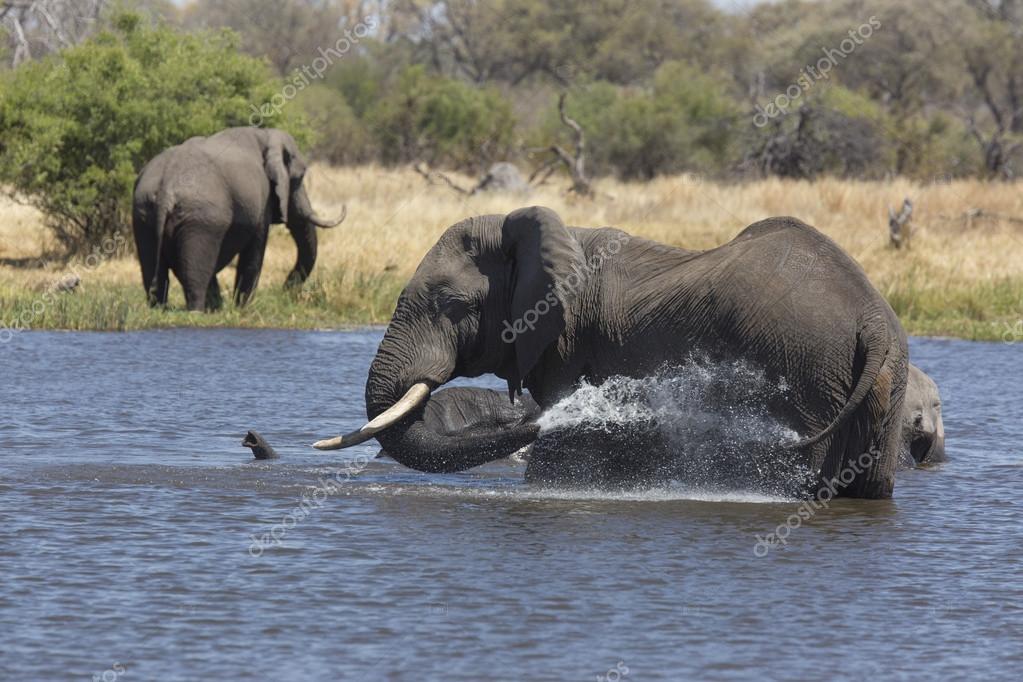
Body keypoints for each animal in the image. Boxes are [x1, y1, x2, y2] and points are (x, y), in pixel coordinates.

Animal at [132, 127, 346, 311]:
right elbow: (254, 253)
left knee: (154, 267)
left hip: (143, 213)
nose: (285, 292)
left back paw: (159, 309)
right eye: (300, 178)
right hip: (201, 220)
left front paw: (218, 308)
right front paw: (242, 309)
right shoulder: (262, 199)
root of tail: (166, 188)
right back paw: (196, 311)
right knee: (195, 270)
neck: (265, 135)